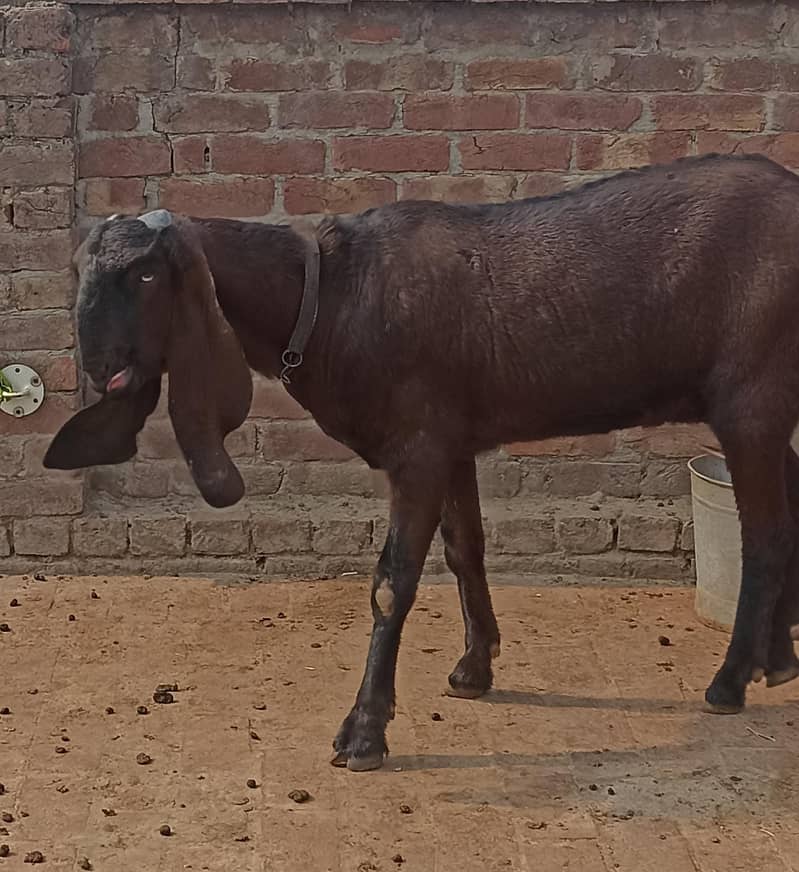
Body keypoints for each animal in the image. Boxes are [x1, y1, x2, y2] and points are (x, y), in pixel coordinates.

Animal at [45, 153, 799, 771]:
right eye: (83, 271)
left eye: (146, 273)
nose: (101, 367)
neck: (330, 298)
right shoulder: (452, 442)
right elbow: (465, 549)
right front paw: (474, 668)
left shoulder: (419, 447)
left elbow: (392, 582)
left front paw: (362, 734)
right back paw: (780, 661)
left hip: (750, 397)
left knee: (764, 536)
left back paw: (732, 679)